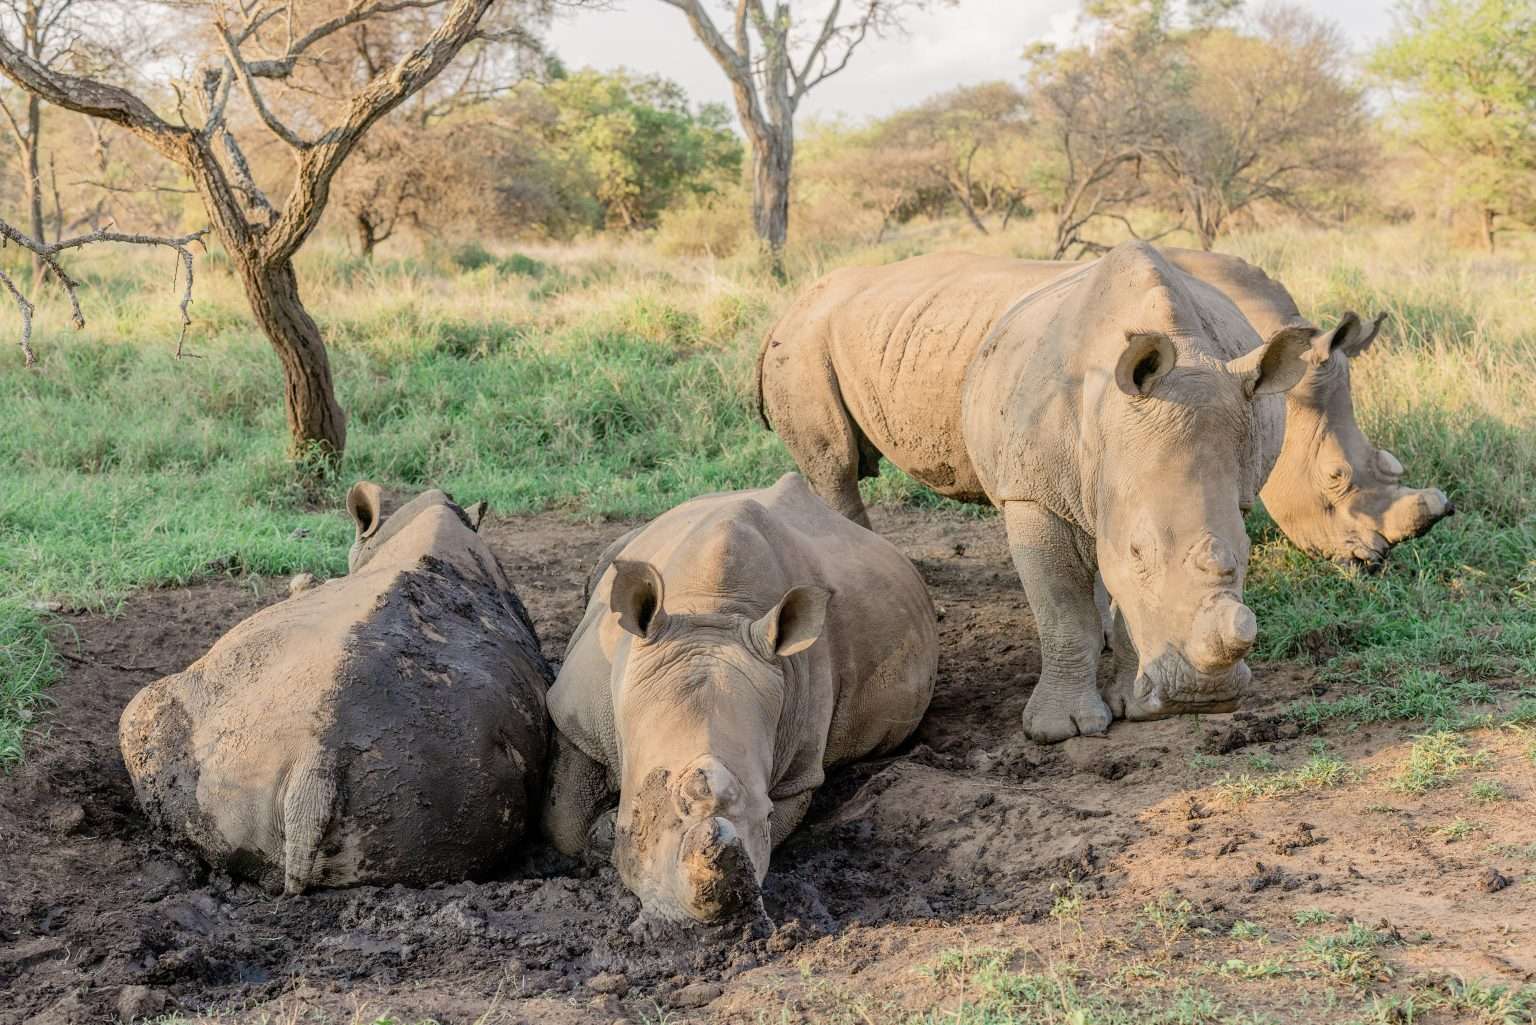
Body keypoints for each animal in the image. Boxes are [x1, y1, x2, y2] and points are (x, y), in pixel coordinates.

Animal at [543, 473, 937, 928]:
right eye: (638, 819)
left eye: (765, 815)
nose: (712, 926)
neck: (712, 612)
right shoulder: (576, 718)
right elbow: (564, 821)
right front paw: (599, 838)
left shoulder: (798, 770)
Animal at [758, 242, 1448, 743]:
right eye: (1335, 478)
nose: (1374, 560)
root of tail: (798, 298)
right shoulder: (1032, 493)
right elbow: (1065, 607)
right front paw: (1064, 730)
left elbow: (1119, 590)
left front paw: (1133, 692)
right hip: (805, 338)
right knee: (834, 464)